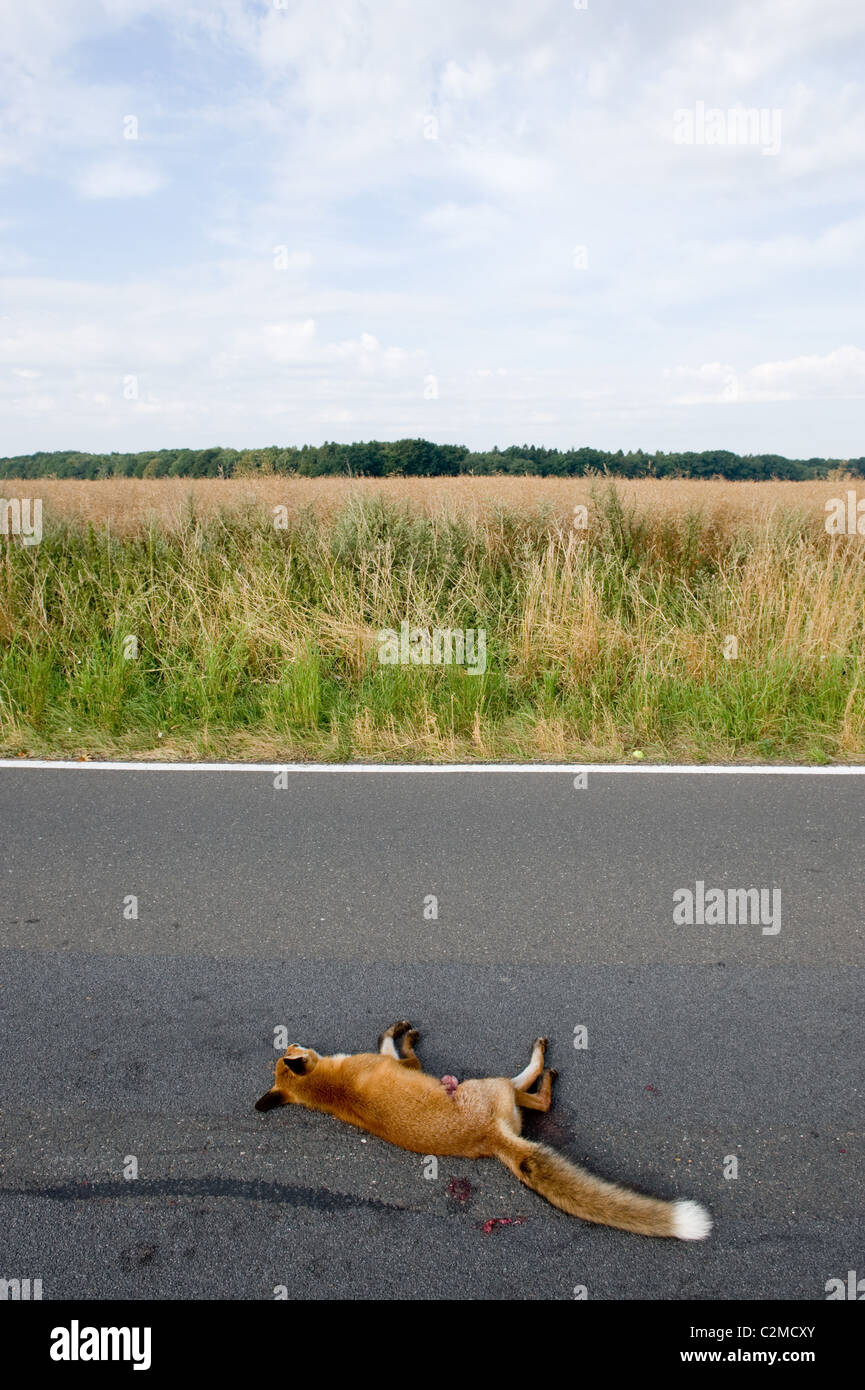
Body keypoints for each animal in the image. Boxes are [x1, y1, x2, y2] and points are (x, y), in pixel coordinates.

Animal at [255, 1021, 712, 1240]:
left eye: (289, 1049)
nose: (289, 1041)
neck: (330, 1087)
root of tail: (489, 1140)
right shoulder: (404, 1065)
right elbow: (399, 1047)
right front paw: (403, 1032)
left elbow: (394, 1043)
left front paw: (401, 1030)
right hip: (496, 1084)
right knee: (537, 1096)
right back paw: (543, 1064)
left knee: (534, 1102)